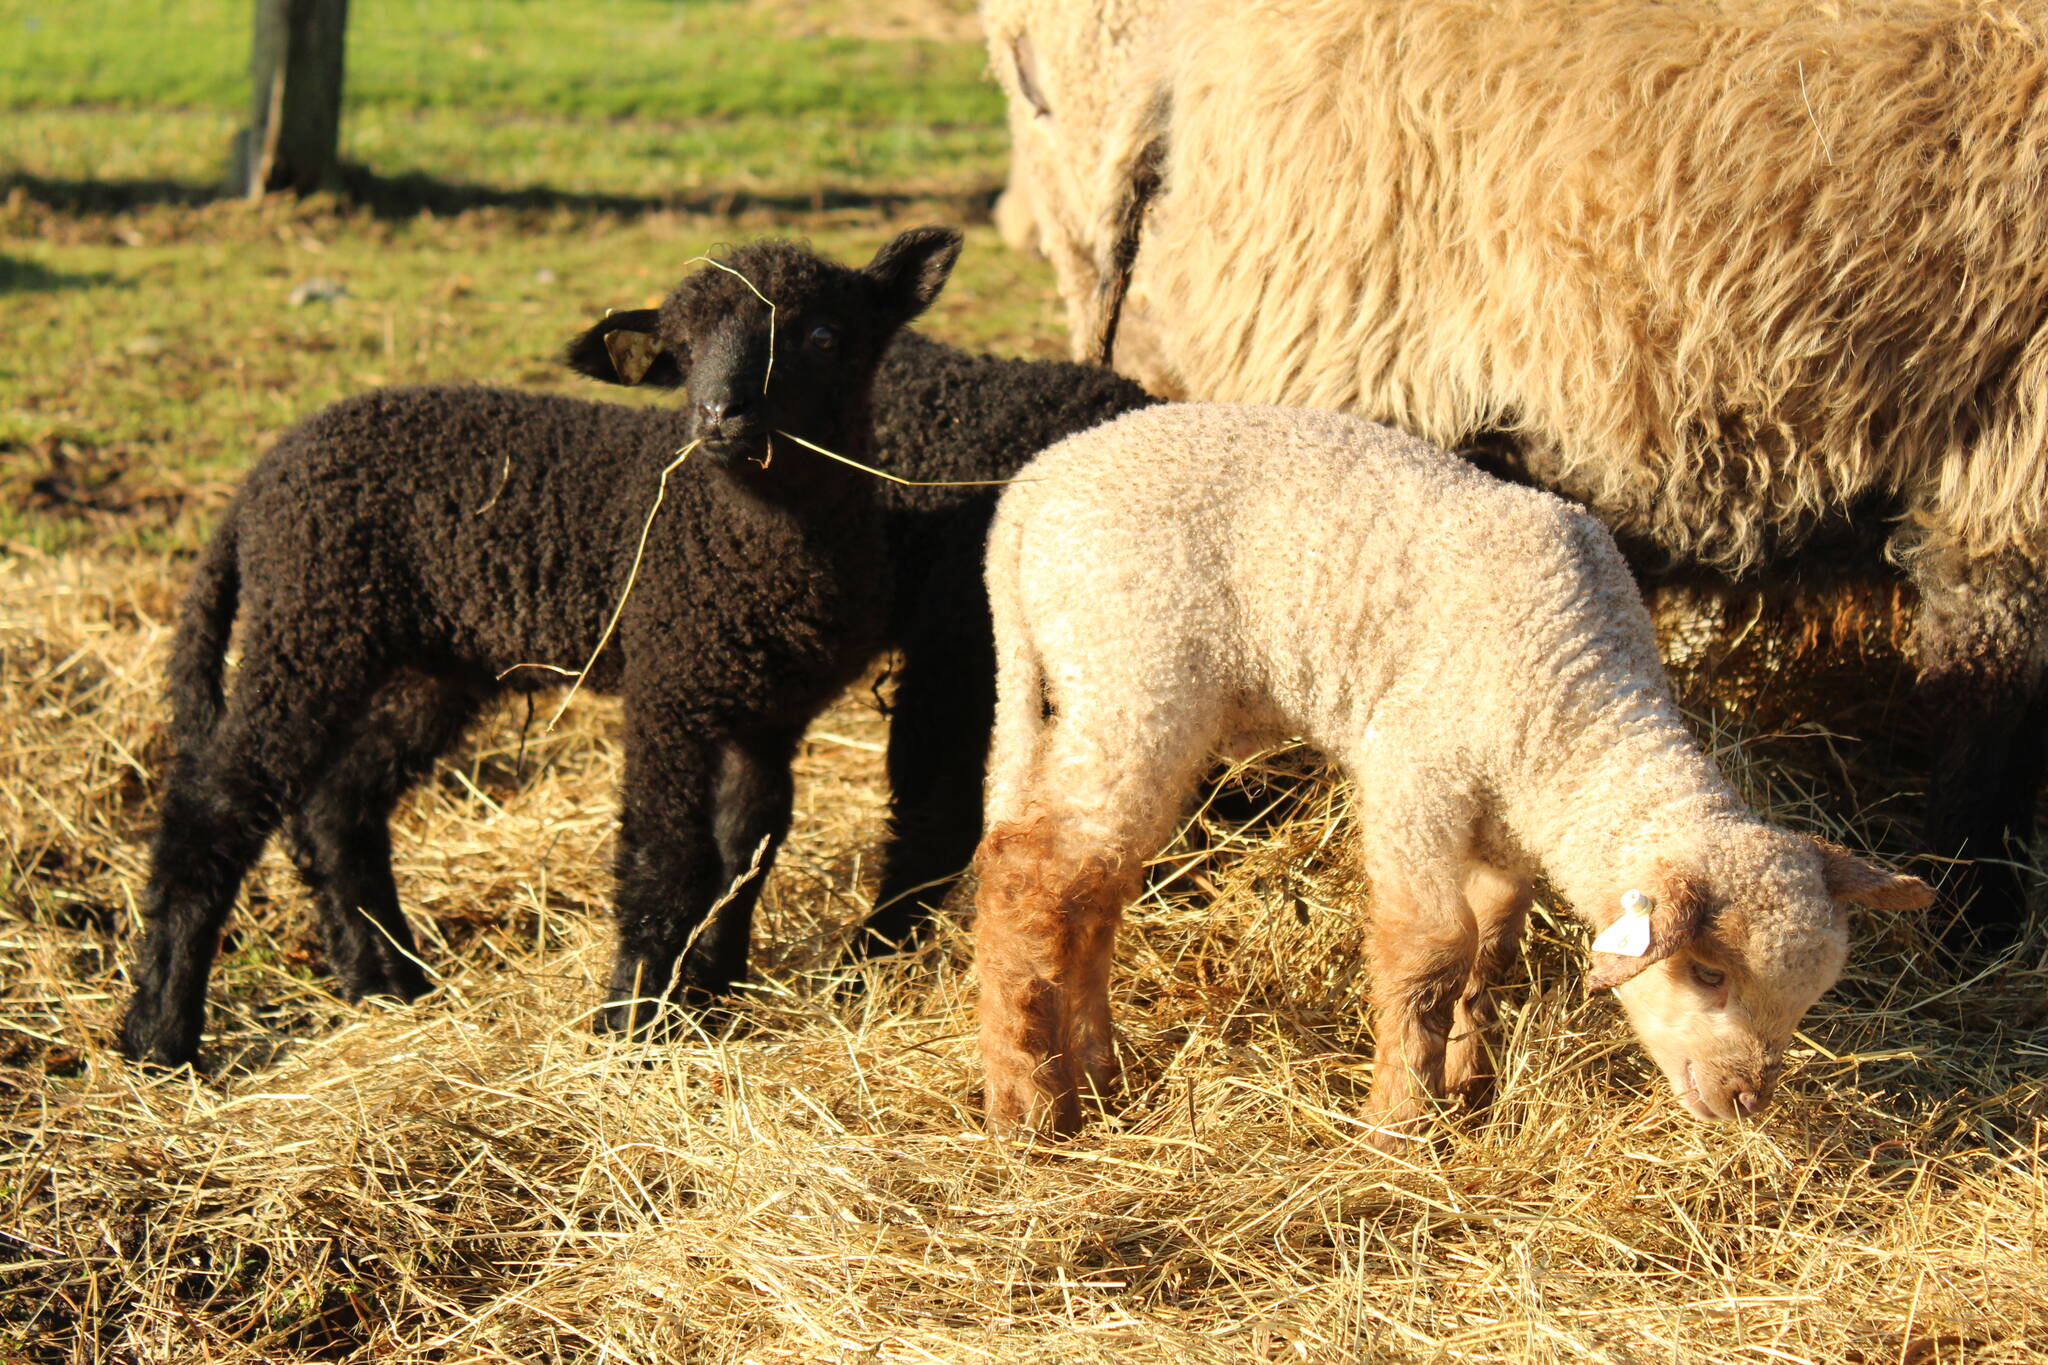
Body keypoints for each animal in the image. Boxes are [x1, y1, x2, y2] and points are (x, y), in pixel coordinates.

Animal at [115, 229, 962, 1069]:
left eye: (822, 335)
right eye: (682, 350)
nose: (718, 414)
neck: (748, 534)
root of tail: (257, 482)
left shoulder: (767, 710)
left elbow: (745, 847)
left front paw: (712, 992)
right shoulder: (670, 684)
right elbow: (666, 856)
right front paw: (632, 1025)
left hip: (426, 662)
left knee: (336, 802)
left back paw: (386, 982)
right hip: (308, 623)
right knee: (213, 807)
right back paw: (161, 1036)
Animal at [974, 403, 1933, 1140]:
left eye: (1812, 996)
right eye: (1707, 973)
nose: (1744, 1098)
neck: (1574, 704)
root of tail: (1028, 495)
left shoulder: (1505, 828)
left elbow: (1493, 949)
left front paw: (1468, 1091)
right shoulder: (1416, 770)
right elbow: (1432, 946)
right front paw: (1398, 1122)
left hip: (1114, 694)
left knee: (1087, 891)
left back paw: (1099, 1078)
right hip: (1136, 671)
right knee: (1026, 875)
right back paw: (1029, 1110)